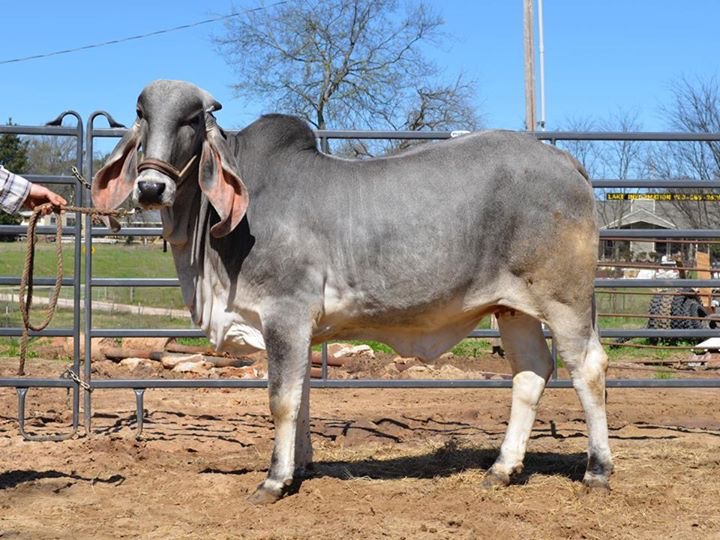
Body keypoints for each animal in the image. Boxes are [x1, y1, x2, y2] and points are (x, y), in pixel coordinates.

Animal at [93, 80, 612, 504]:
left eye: (193, 119)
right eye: (141, 114)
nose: (151, 187)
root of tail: (566, 161)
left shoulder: (285, 314)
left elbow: (282, 400)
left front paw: (273, 480)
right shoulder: (297, 328)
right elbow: (301, 396)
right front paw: (299, 467)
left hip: (563, 300)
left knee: (587, 368)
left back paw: (598, 470)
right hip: (512, 307)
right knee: (531, 373)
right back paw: (502, 469)